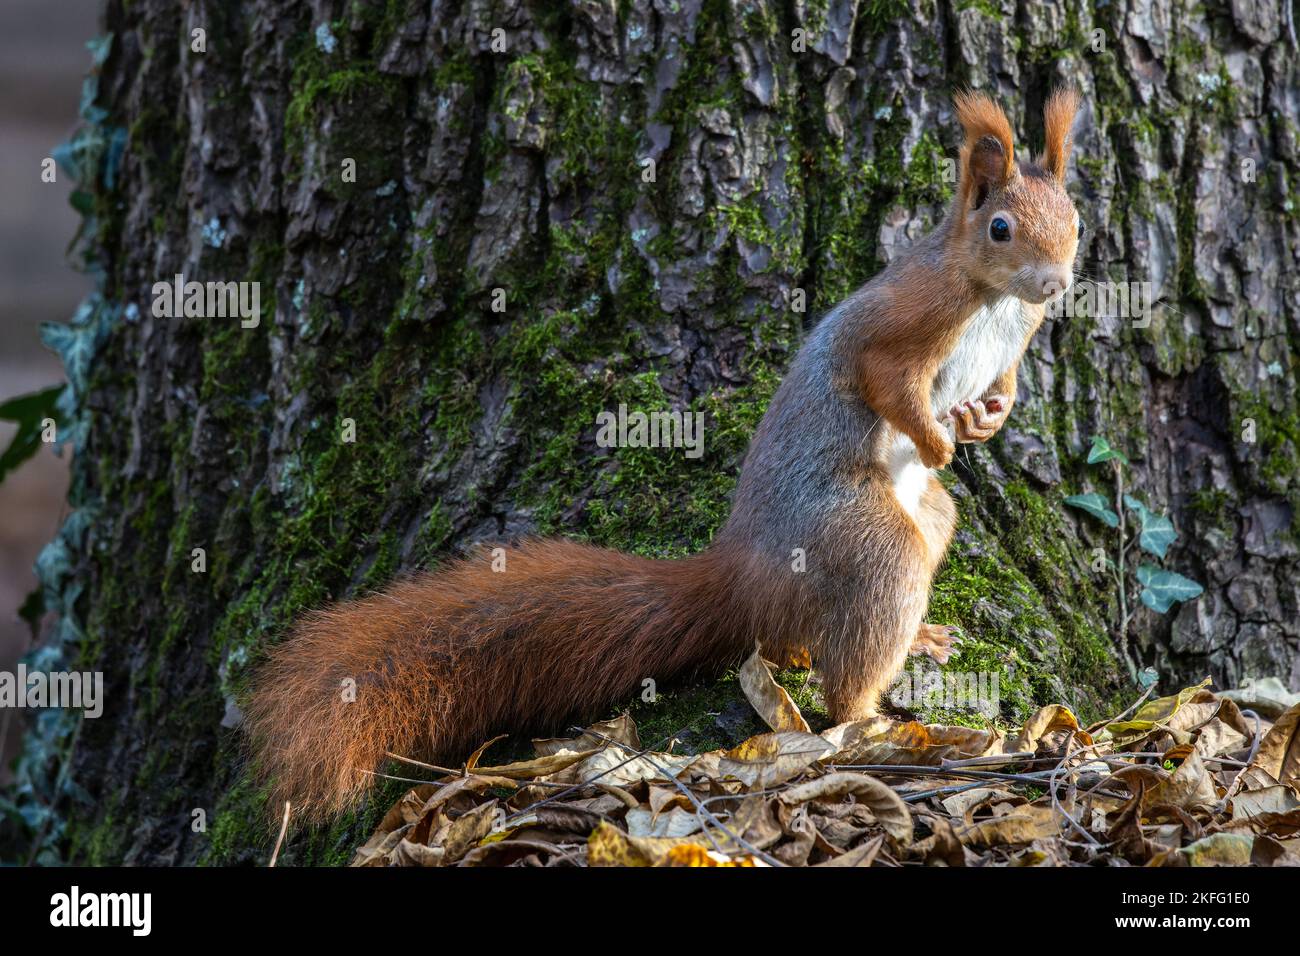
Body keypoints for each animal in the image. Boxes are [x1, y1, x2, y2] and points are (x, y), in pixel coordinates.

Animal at [246, 89, 1082, 820]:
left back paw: (923, 638)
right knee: (847, 667)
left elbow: (1005, 385)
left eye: (1075, 218)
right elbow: (887, 384)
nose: (1056, 284)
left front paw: (988, 419)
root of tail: (744, 574)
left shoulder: (1014, 343)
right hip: (865, 543)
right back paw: (876, 719)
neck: (994, 299)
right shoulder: (905, 324)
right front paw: (941, 437)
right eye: (1000, 228)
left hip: (924, 520)